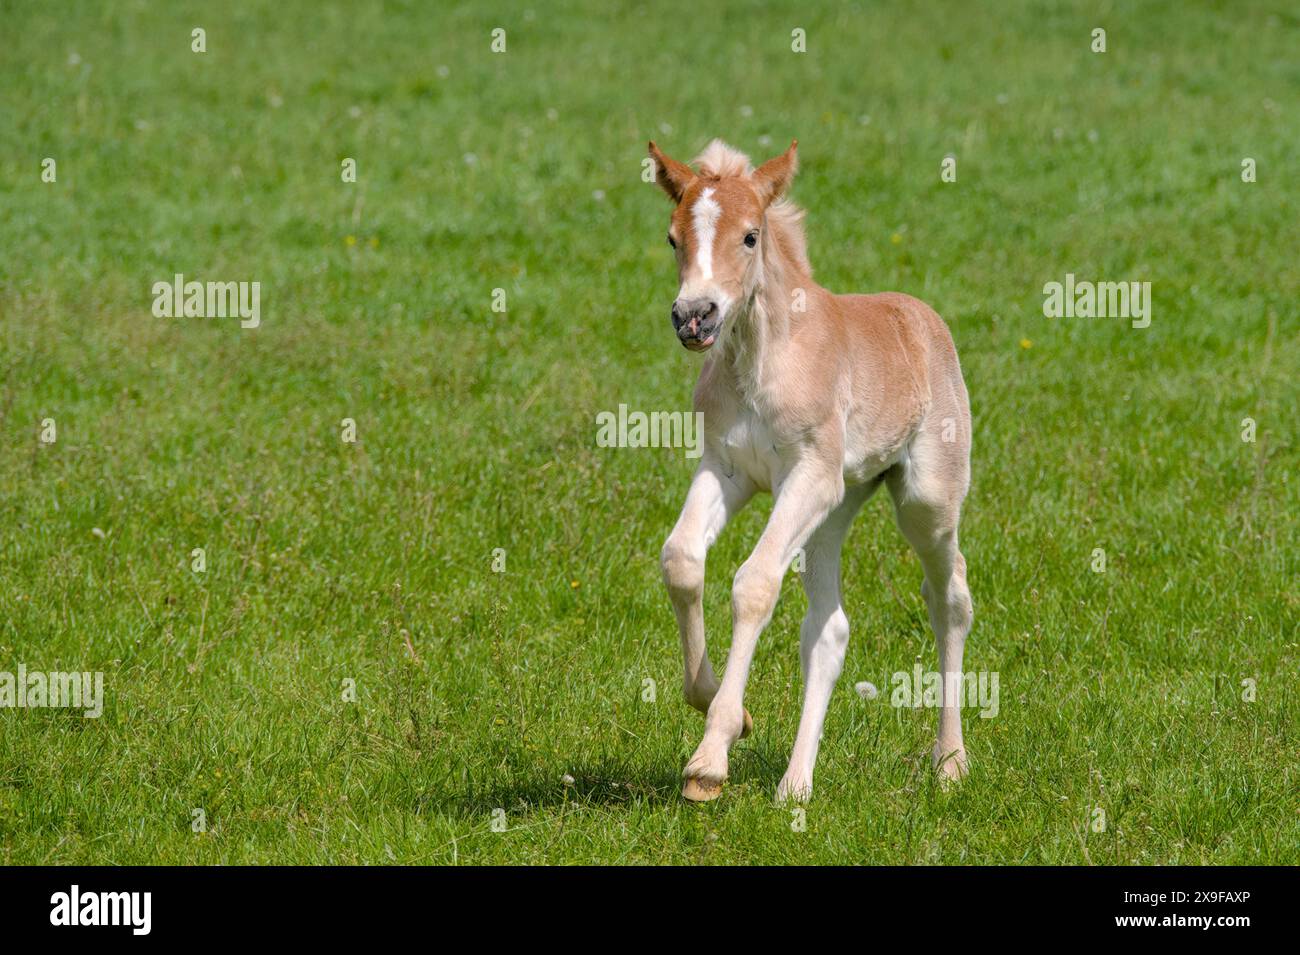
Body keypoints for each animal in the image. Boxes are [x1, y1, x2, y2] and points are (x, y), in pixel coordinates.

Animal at [649, 138, 974, 802]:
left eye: (750, 236)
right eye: (672, 238)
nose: (695, 317)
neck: (761, 357)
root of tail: (925, 319)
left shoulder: (807, 477)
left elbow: (753, 583)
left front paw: (710, 757)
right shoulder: (727, 470)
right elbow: (682, 559)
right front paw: (724, 709)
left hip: (923, 501)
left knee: (950, 594)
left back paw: (950, 761)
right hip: (834, 511)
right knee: (829, 628)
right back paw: (795, 785)